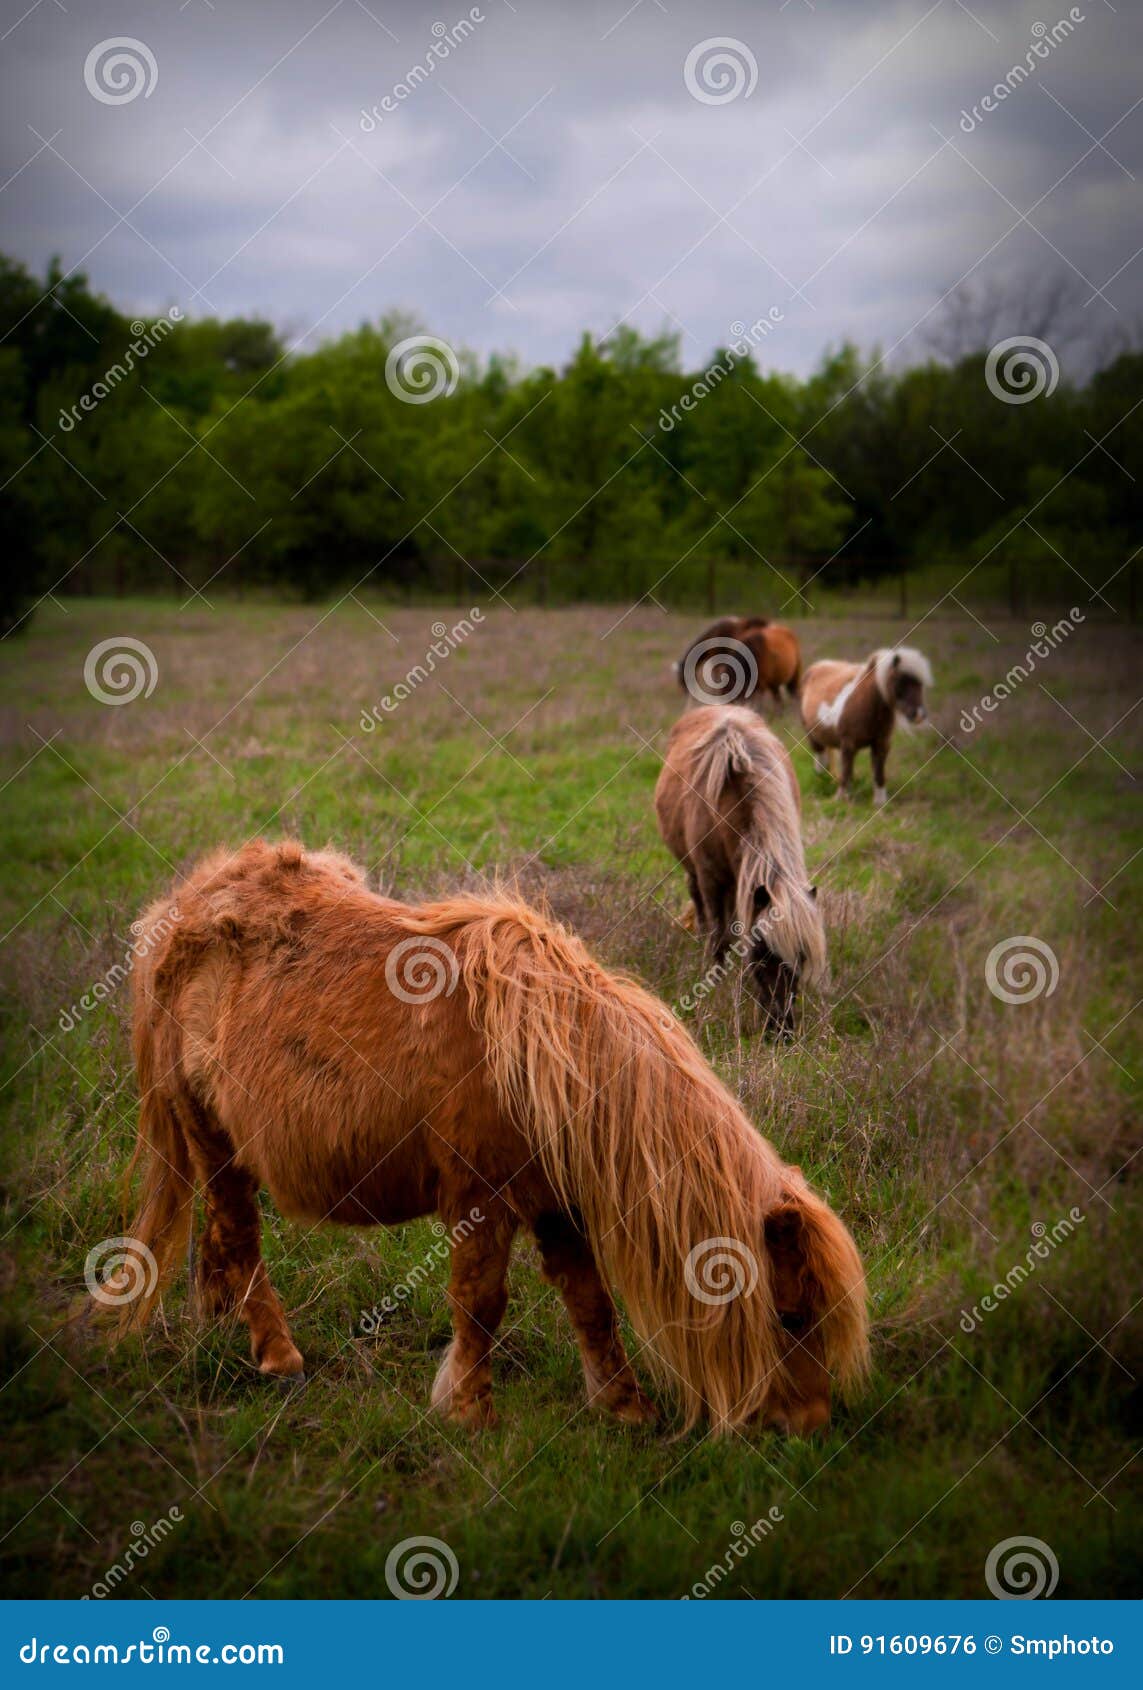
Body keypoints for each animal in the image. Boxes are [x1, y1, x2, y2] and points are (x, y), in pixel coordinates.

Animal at [104, 839, 868, 1436]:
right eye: (790, 1316)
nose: (809, 1427)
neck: (551, 1057)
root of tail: (177, 911)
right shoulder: (481, 1201)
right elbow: (480, 1303)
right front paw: (472, 1412)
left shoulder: (554, 1201)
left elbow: (590, 1301)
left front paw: (624, 1408)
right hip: (211, 1139)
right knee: (239, 1237)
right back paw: (276, 1355)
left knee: (217, 1237)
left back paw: (216, 1324)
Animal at [654, 706, 827, 1035]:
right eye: (763, 956)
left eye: (801, 959)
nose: (781, 1030)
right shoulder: (710, 878)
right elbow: (720, 935)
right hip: (699, 874)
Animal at [801, 647, 932, 805]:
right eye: (900, 681)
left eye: (920, 684)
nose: (919, 715)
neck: (866, 702)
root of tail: (818, 665)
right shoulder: (848, 745)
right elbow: (846, 773)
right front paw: (841, 799)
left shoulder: (881, 744)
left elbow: (879, 774)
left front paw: (880, 802)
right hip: (813, 737)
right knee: (820, 757)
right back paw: (822, 779)